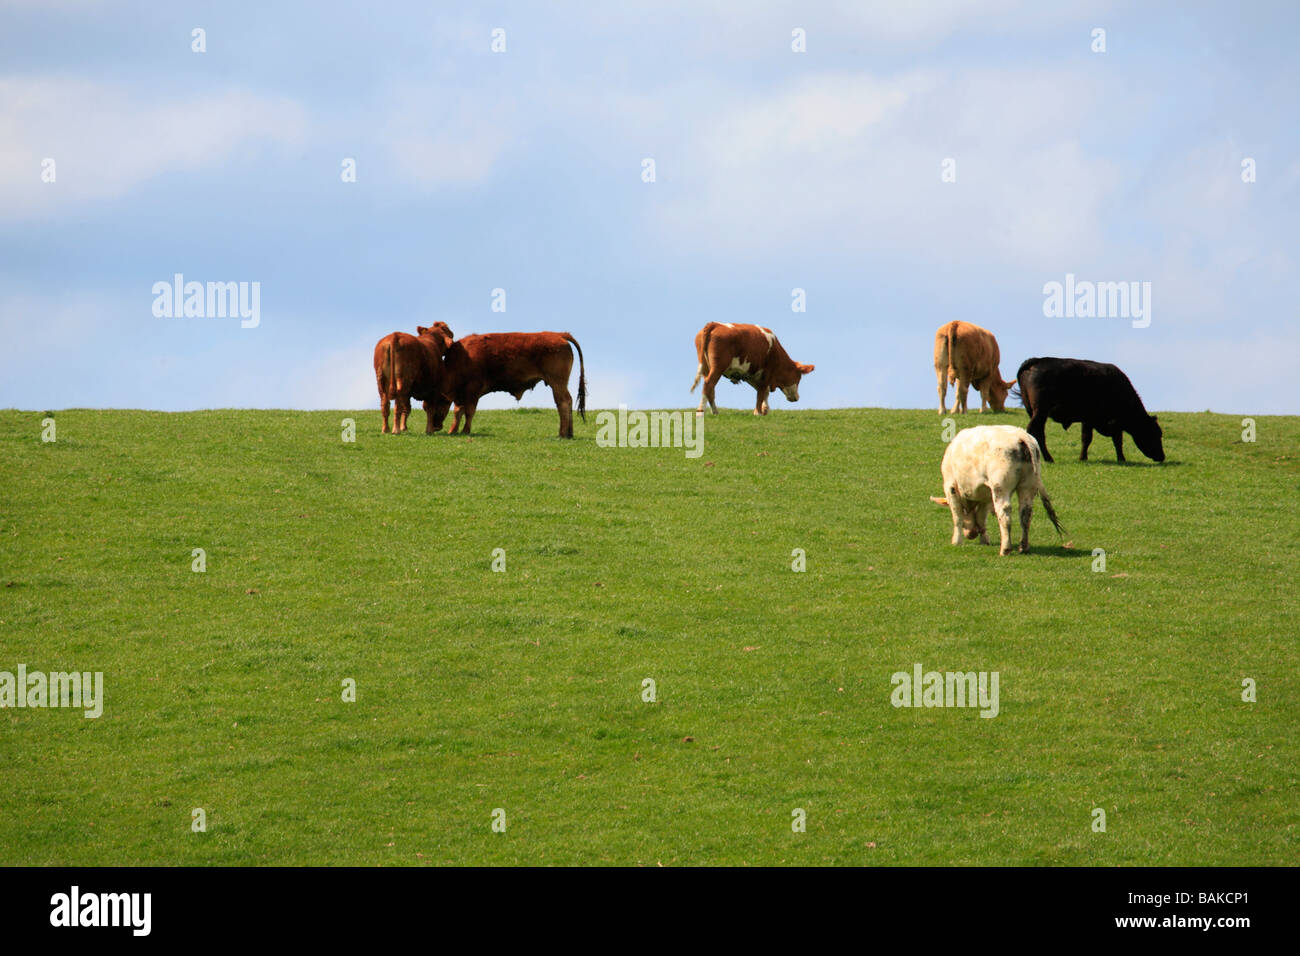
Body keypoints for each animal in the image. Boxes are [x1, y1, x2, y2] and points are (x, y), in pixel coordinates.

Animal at [434, 331, 587, 438]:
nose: (434, 427)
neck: (463, 357)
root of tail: (558, 334)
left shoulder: (473, 390)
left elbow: (469, 411)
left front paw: (465, 431)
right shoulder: (461, 394)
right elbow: (458, 411)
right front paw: (452, 431)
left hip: (557, 383)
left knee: (563, 402)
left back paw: (562, 434)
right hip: (559, 384)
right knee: (568, 401)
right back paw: (569, 433)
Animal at [929, 425, 1064, 555]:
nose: (971, 534)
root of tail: (1022, 436)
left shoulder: (951, 487)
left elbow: (957, 517)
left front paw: (956, 541)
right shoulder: (986, 496)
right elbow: (981, 518)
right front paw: (984, 540)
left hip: (1001, 487)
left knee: (1005, 514)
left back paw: (1005, 548)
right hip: (1027, 485)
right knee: (1026, 513)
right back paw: (1024, 547)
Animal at [1015, 357, 1165, 464]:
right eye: (1154, 434)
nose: (1162, 456)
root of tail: (1037, 361)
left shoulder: (1089, 420)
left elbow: (1089, 438)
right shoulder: (1103, 420)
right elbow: (1108, 439)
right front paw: (1121, 459)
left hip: (1034, 411)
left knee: (1038, 432)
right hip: (1040, 411)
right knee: (1035, 431)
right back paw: (1048, 458)